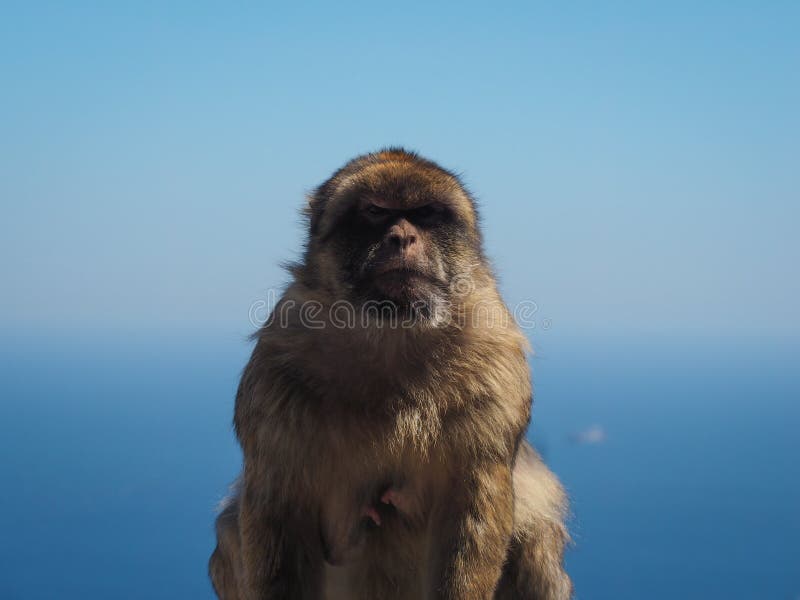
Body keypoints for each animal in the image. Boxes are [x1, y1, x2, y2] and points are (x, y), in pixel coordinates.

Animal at [209, 149, 571, 599]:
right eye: (376, 212)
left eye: (426, 214)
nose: (402, 237)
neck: (392, 336)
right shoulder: (278, 367)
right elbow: (278, 507)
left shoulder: (495, 367)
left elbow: (474, 506)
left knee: (536, 535)